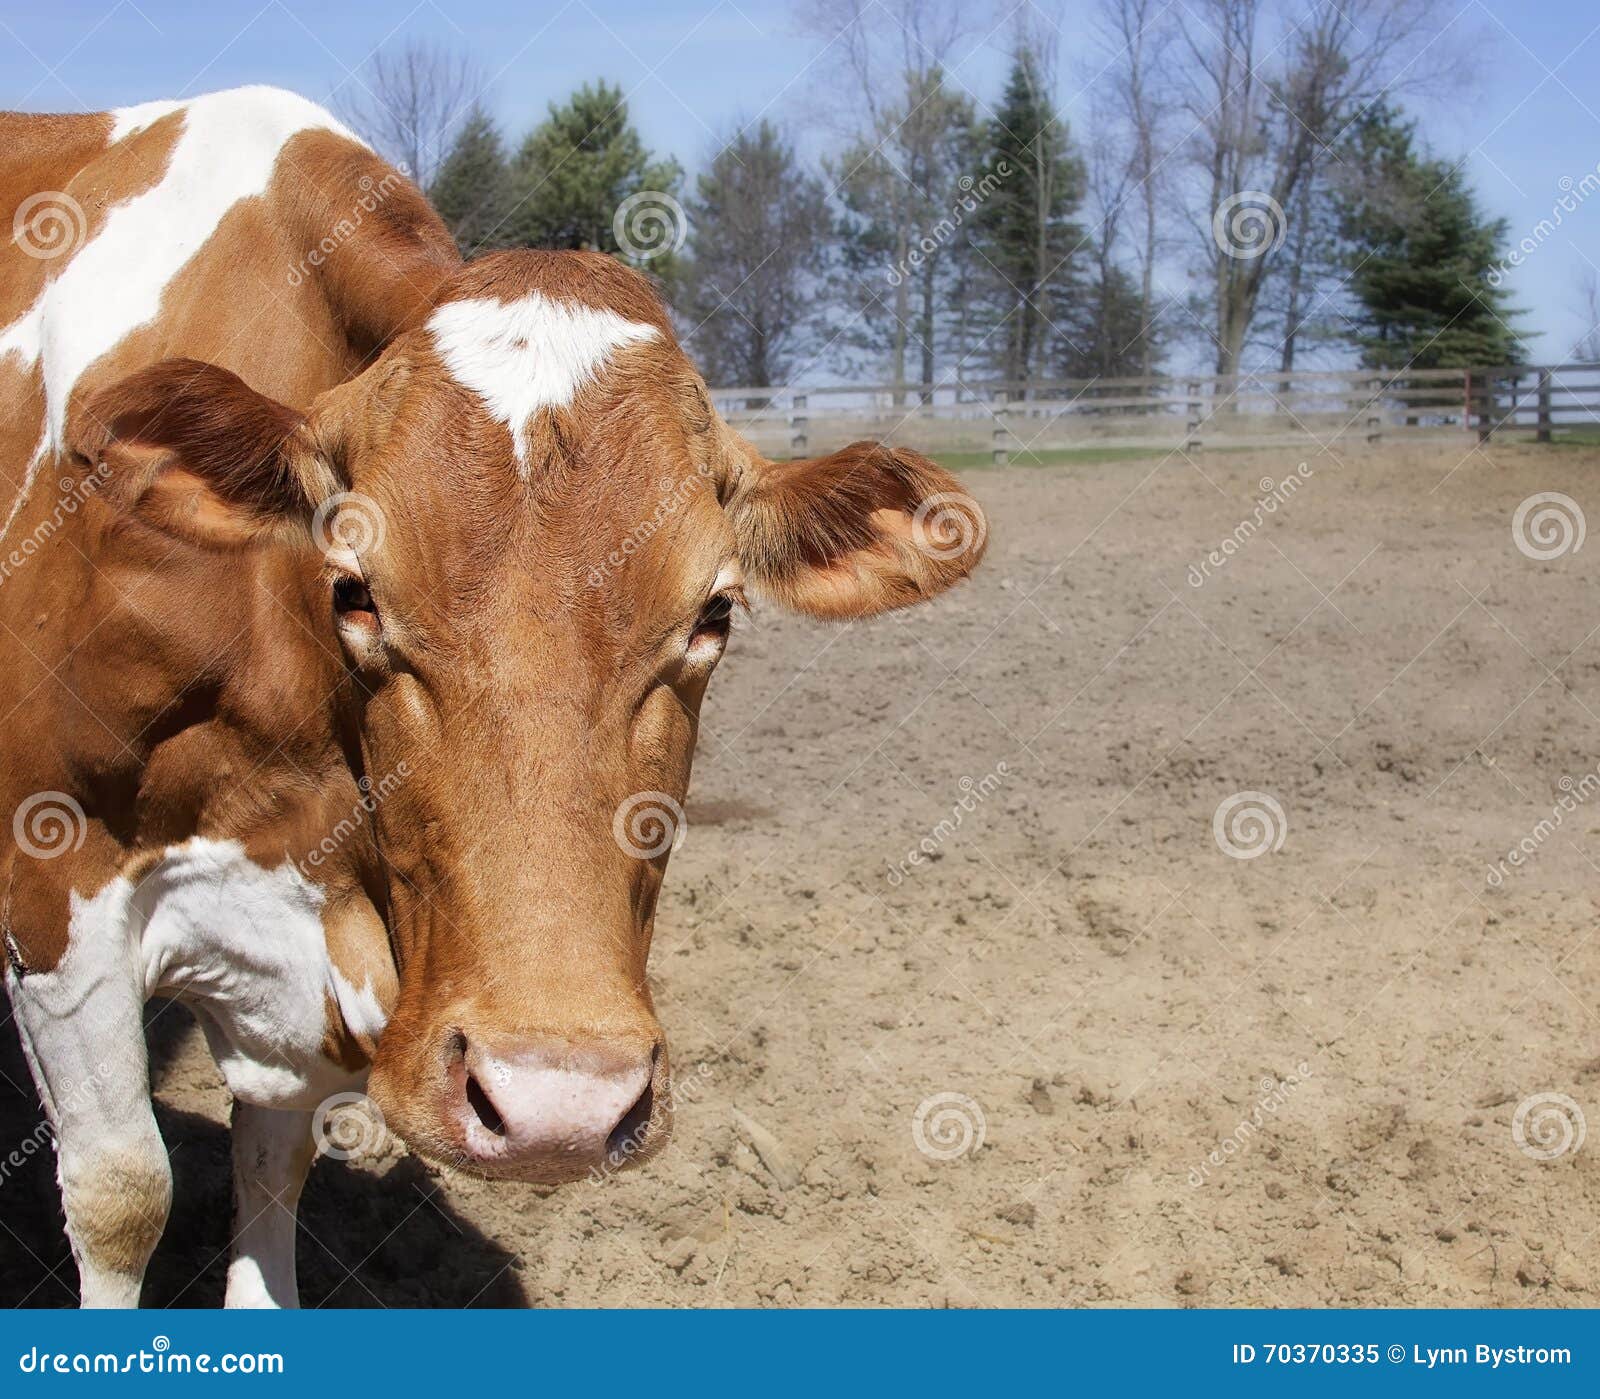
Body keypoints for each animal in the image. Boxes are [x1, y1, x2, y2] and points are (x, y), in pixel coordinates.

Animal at [0, 87, 986, 1308]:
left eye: (714, 614)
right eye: (355, 588)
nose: (559, 1106)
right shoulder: (53, 878)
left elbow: (271, 1168)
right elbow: (121, 1193)